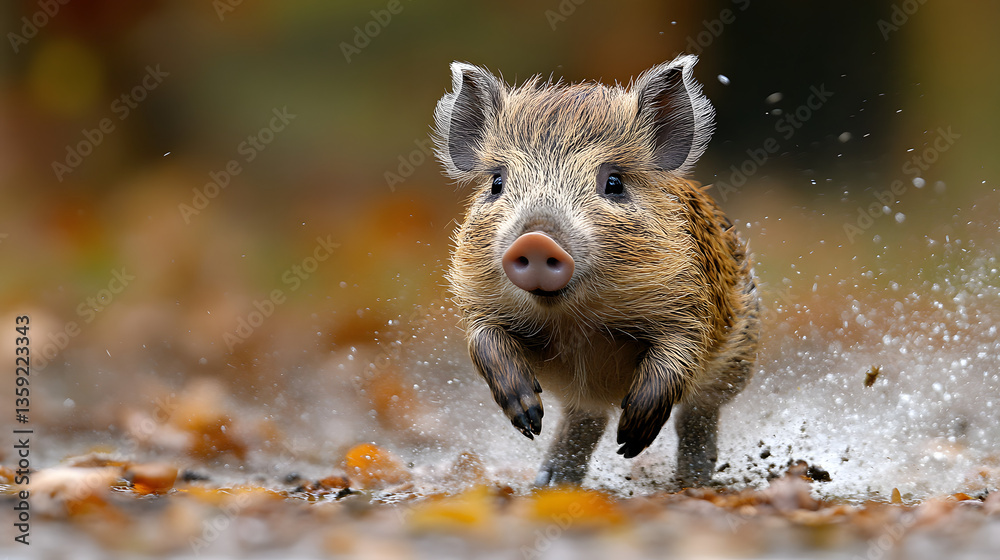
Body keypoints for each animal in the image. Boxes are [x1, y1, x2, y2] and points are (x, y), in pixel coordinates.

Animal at [432, 55, 759, 487]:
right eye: (497, 182)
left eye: (614, 182)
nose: (536, 239)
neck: (575, 322)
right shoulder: (479, 305)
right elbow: (486, 342)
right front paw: (529, 422)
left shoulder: (691, 309)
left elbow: (676, 356)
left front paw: (630, 442)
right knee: (585, 420)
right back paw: (548, 482)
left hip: (737, 359)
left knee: (698, 415)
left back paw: (690, 482)